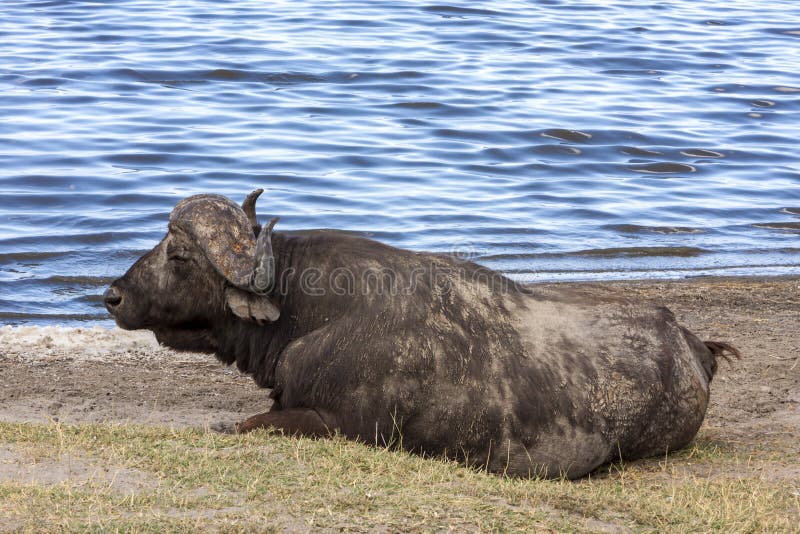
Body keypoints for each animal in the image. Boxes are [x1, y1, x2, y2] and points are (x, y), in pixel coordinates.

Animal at [105, 190, 738, 478]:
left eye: (179, 254)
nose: (112, 295)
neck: (305, 313)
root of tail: (689, 343)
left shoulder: (340, 426)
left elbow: (245, 424)